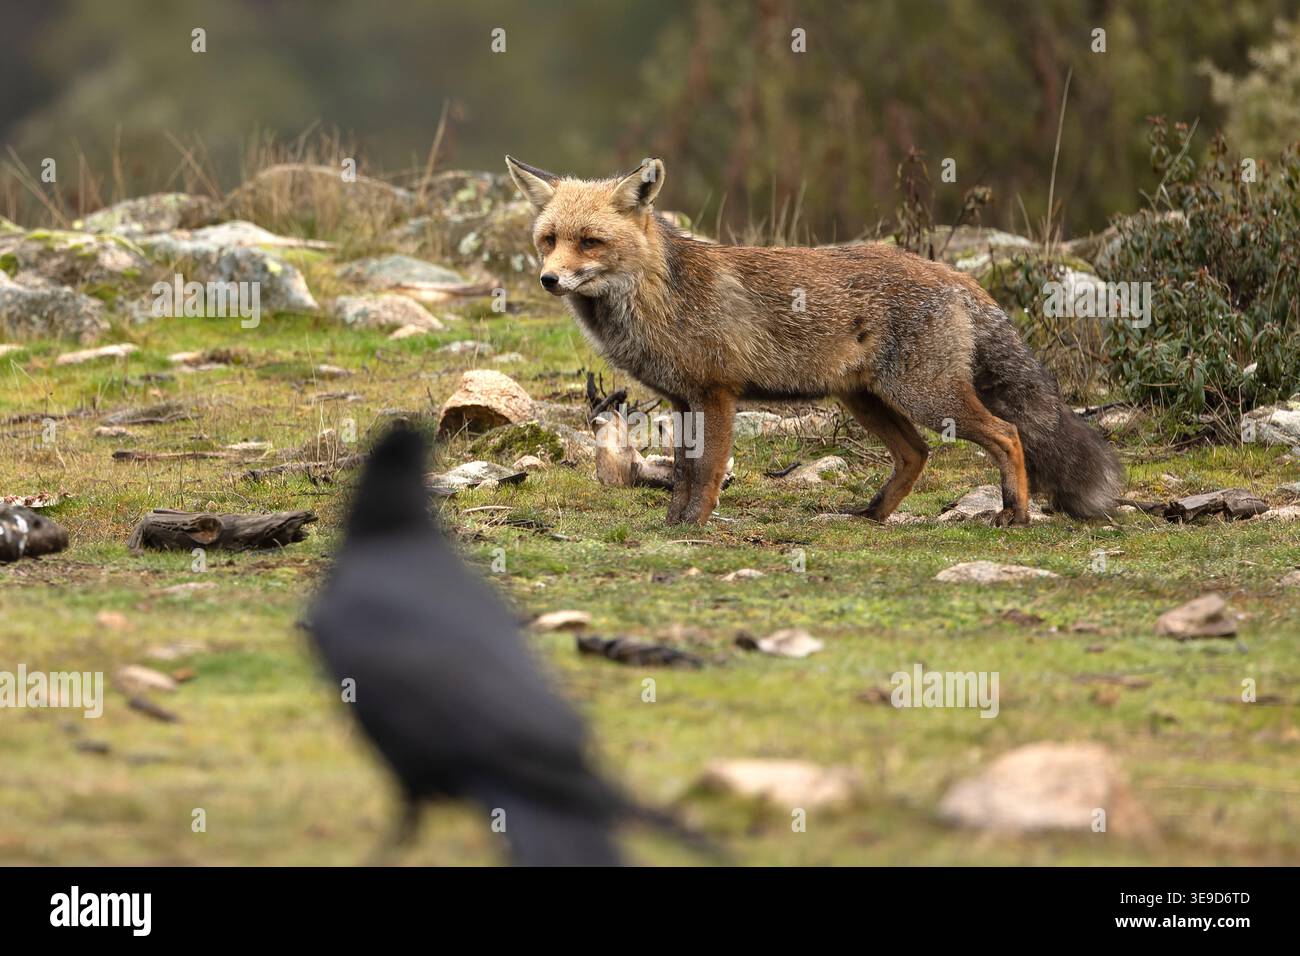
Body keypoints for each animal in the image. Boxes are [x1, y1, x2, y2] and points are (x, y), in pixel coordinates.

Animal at [505, 155, 1124, 528]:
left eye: (590, 242)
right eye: (549, 240)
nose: (549, 280)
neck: (659, 295)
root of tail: (957, 275)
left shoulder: (716, 393)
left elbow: (707, 472)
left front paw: (695, 526)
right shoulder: (682, 399)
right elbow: (681, 471)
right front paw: (672, 523)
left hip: (928, 398)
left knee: (1008, 434)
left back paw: (1015, 513)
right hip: (866, 400)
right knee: (917, 453)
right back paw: (872, 515)